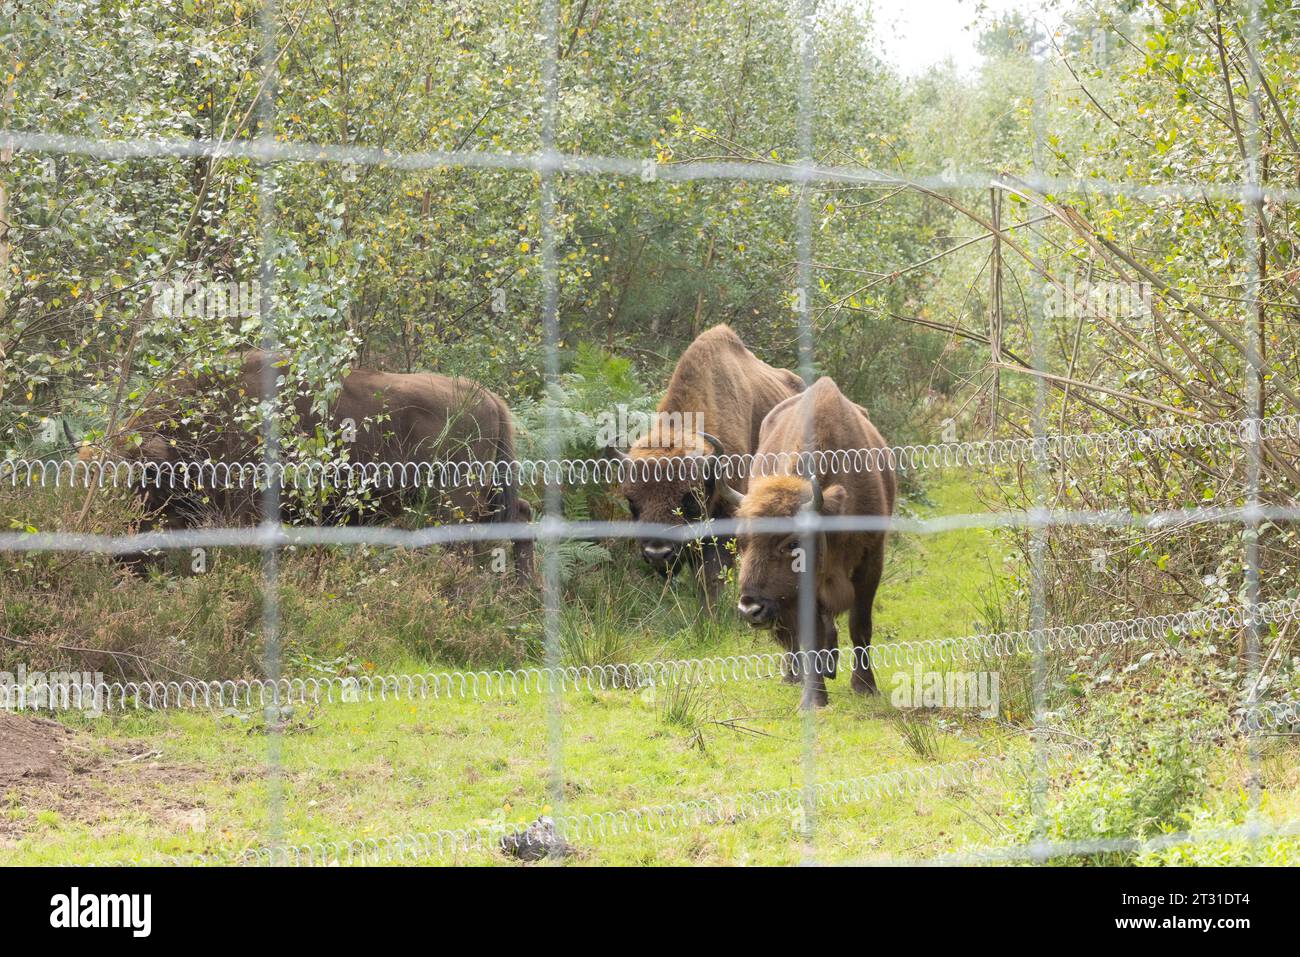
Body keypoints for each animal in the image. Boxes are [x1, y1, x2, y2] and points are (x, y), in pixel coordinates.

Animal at [719, 377, 895, 707]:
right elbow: (810, 633)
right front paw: (814, 699)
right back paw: (794, 675)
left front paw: (865, 687)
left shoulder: (871, 559)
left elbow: (860, 625)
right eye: (742, 542)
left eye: (791, 544)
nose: (750, 609)